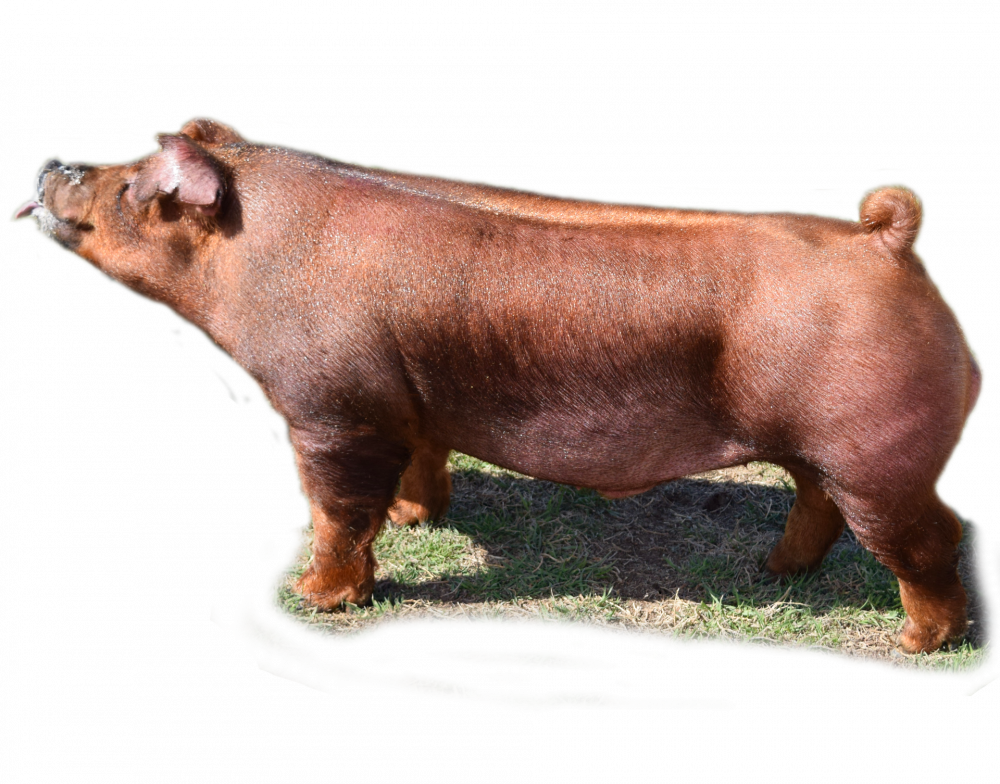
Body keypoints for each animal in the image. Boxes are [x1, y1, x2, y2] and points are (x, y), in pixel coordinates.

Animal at [11, 113, 985, 654]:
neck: (259, 256)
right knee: (817, 506)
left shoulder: (330, 409)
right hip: (829, 453)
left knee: (926, 543)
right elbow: (418, 467)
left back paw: (916, 643)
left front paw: (317, 599)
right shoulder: (409, 404)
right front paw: (417, 520)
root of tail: (885, 241)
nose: (52, 165)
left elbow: (335, 510)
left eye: (133, 187)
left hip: (880, 455)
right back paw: (774, 571)